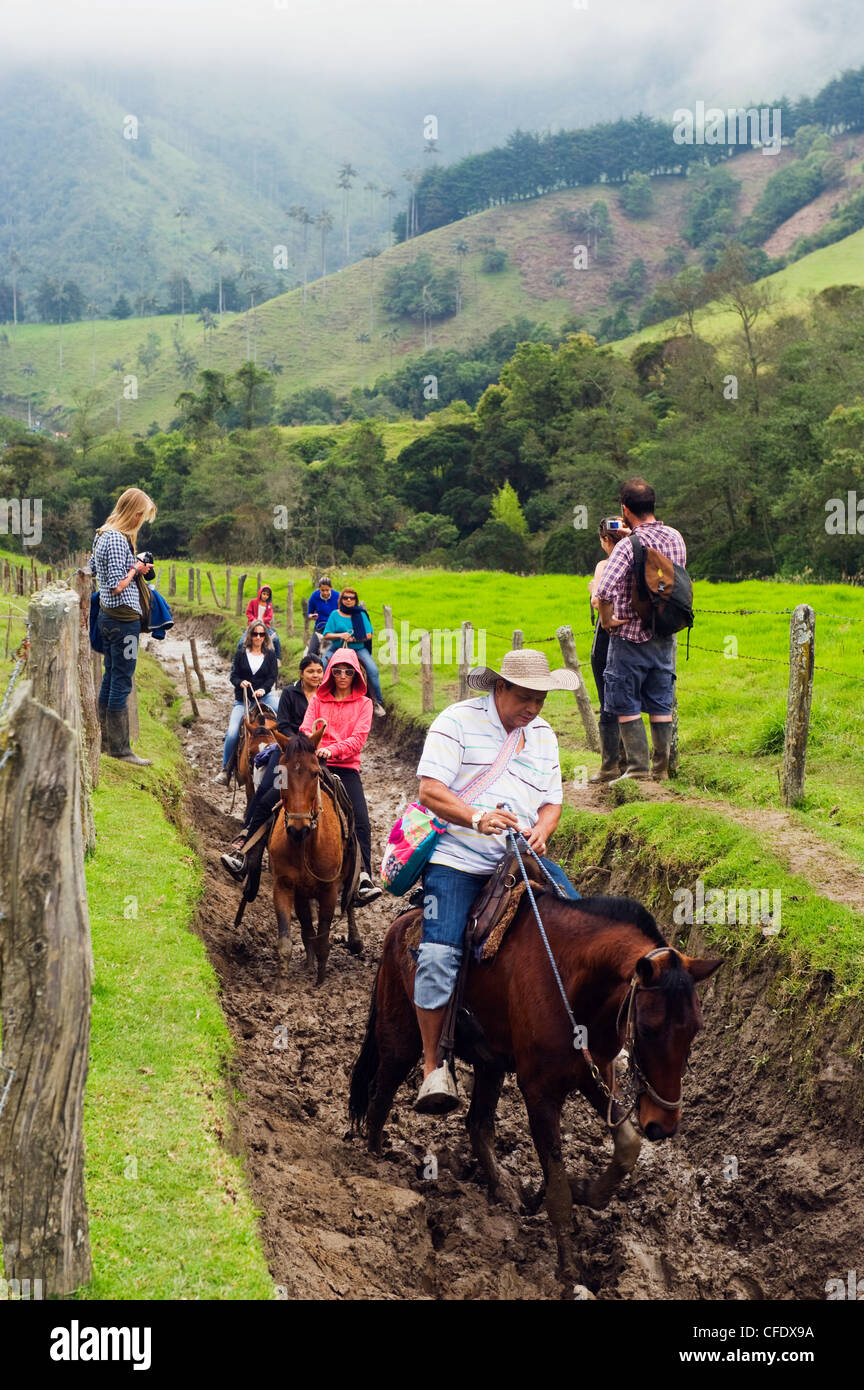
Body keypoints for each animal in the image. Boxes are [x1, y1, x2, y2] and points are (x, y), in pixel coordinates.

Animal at [263, 728, 358, 989]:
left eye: (315, 773)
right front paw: (282, 983)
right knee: (306, 927)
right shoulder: (284, 886)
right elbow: (288, 939)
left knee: (351, 902)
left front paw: (320, 981)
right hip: (302, 893)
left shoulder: (329, 890)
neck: (305, 846)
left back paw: (355, 940)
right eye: (280, 774)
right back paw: (308, 961)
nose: (298, 828)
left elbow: (324, 939)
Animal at [348, 895, 722, 1284]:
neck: (574, 981)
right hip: (401, 1035)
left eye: (696, 1028)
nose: (663, 1124)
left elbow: (628, 1144)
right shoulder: (539, 1092)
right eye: (648, 1029)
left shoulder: (595, 1071)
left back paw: (502, 1189)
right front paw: (569, 1268)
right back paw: (377, 1161)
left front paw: (587, 1190)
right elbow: (557, 1187)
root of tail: (399, 924)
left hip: (490, 1064)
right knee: (381, 1091)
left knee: (477, 1124)